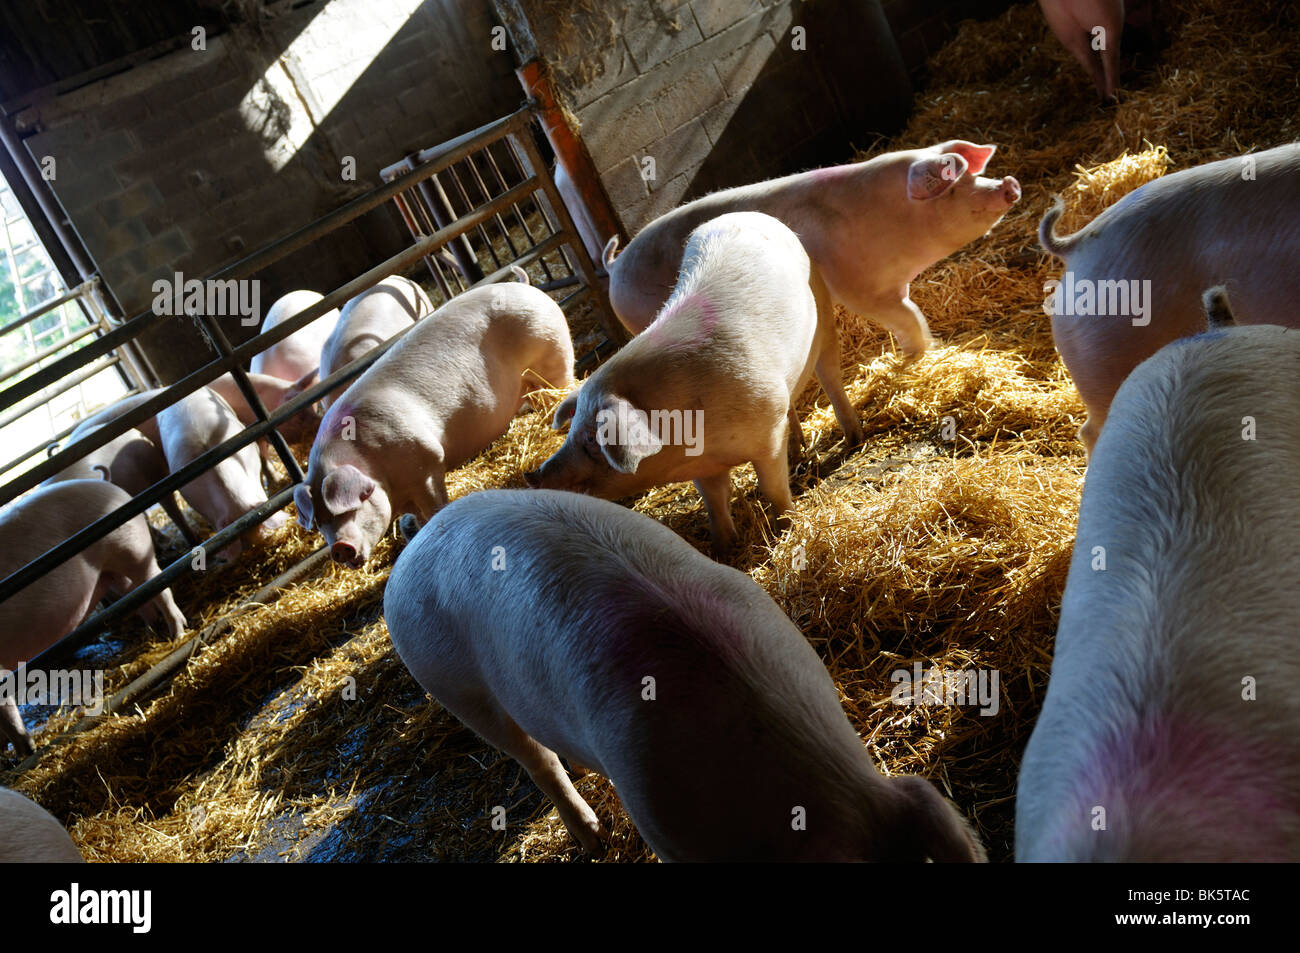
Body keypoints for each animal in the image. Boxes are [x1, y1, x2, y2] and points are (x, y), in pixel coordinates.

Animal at [1, 480, 187, 756]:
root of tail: (115, 490)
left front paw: (28, 752)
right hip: (110, 572)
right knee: (137, 594)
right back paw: (154, 632)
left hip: (133, 552)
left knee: (160, 587)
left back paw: (177, 634)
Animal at [527, 212, 863, 556]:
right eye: (571, 429)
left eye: (593, 439)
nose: (532, 476)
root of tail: (749, 214)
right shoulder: (703, 465)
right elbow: (715, 503)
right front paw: (722, 549)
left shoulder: (766, 436)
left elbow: (773, 489)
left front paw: (785, 528)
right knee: (792, 407)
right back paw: (798, 452)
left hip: (822, 314)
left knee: (831, 377)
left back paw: (854, 439)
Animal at [604, 140, 1020, 349]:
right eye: (953, 185)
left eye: (975, 174)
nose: (1009, 183)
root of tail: (614, 266)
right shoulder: (860, 288)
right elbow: (907, 317)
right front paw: (927, 350)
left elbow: (911, 311)